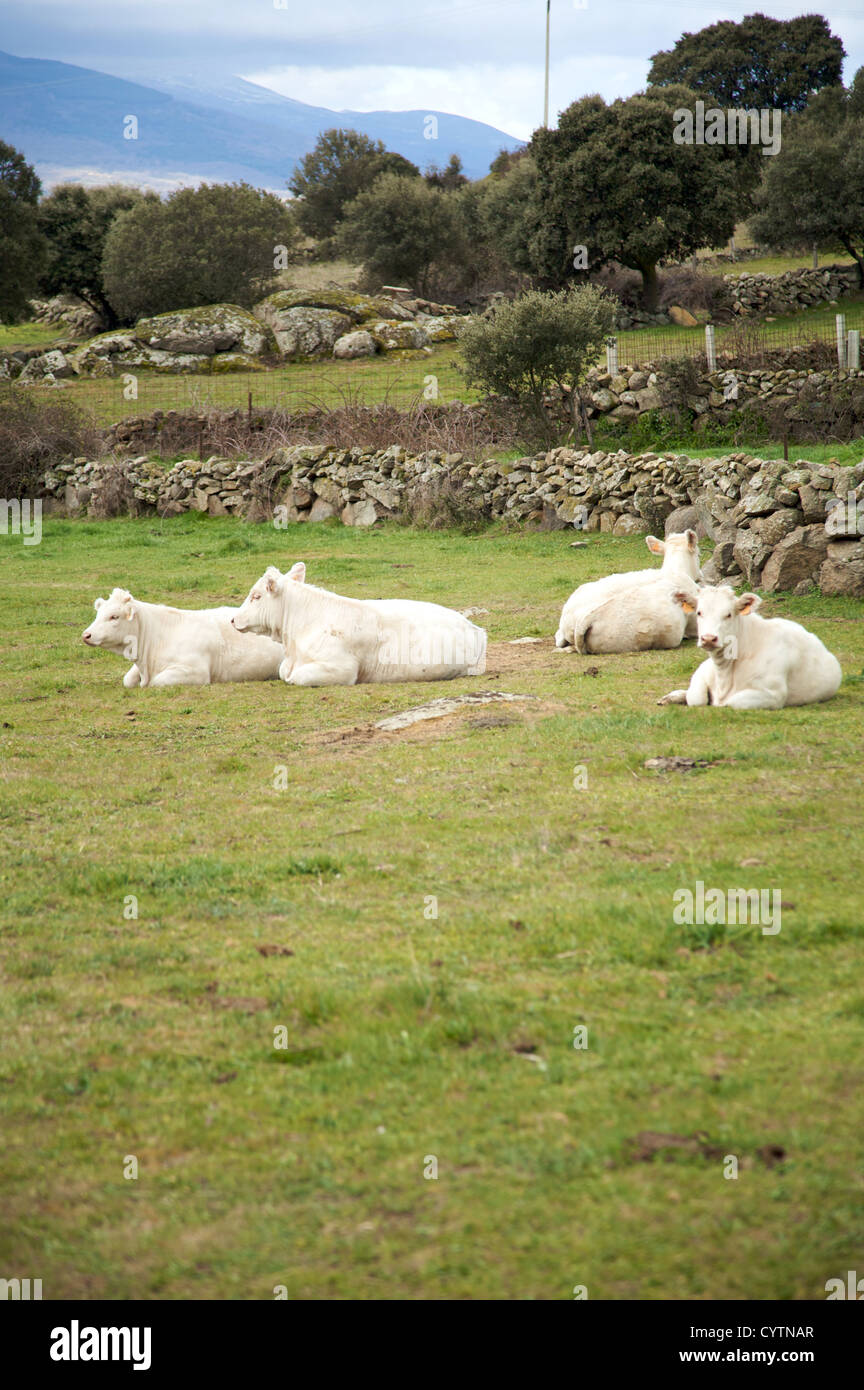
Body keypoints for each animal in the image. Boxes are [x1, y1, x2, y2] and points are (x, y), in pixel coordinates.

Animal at [82, 589, 284, 687]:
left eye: (114, 616)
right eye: (98, 613)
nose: (86, 635)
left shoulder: (196, 672)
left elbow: (157, 682)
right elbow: (128, 680)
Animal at [231, 562, 487, 686]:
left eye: (256, 596)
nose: (233, 619)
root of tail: (475, 628)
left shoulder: (341, 668)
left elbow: (296, 678)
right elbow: (284, 672)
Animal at [658, 586, 842, 710]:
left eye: (728, 614)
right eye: (699, 612)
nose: (709, 638)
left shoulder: (773, 694)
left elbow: (730, 703)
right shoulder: (702, 674)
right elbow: (696, 698)